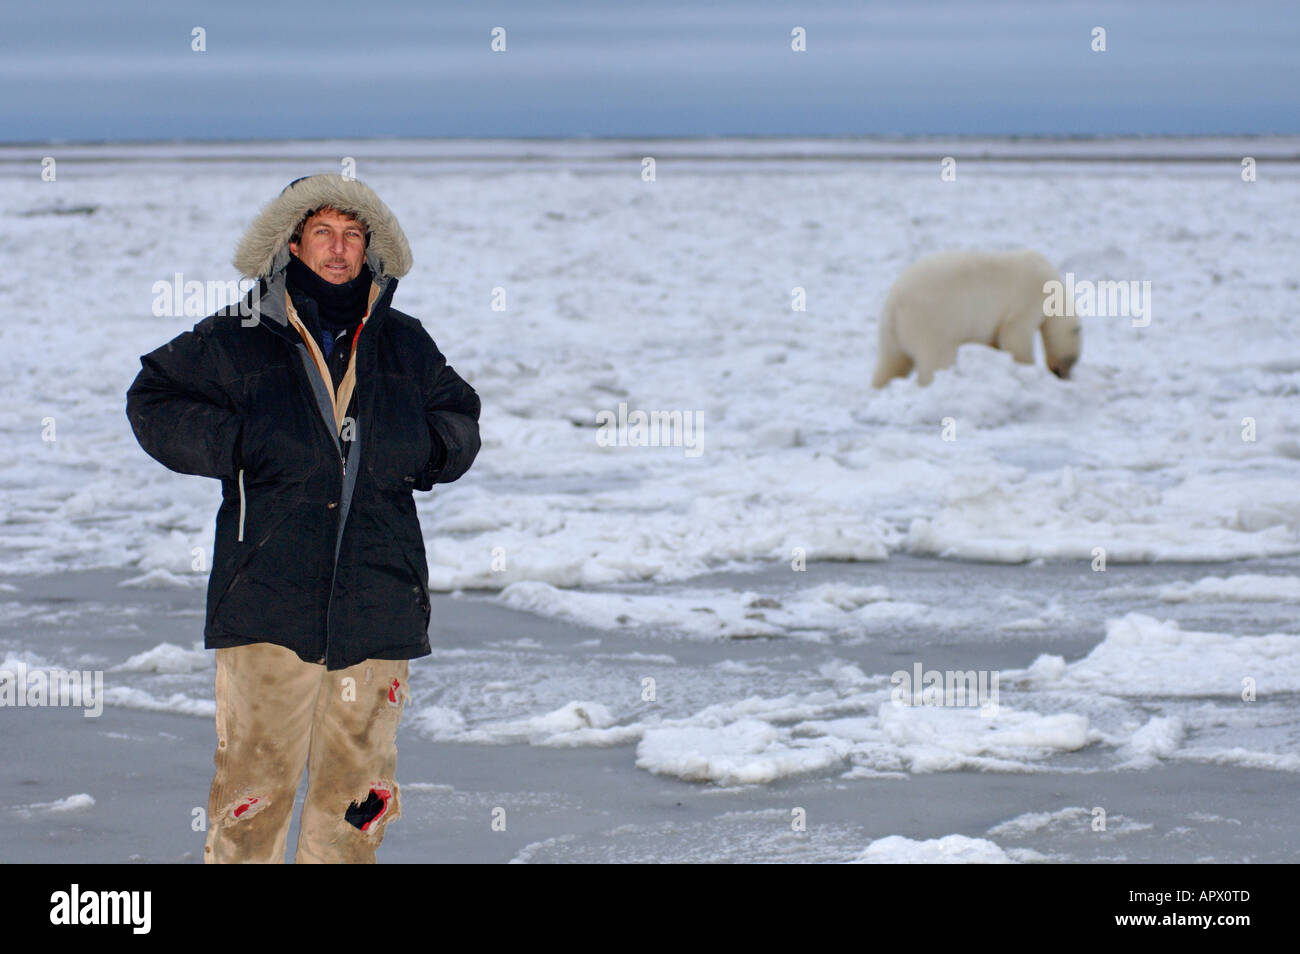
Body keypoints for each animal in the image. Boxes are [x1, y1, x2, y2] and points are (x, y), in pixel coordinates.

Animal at [871, 249, 1081, 388]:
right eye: (1072, 360)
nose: (1062, 376)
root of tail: (895, 306)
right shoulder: (1028, 300)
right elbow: (1015, 335)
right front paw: (1027, 367)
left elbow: (994, 340)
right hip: (931, 322)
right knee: (935, 359)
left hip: (891, 332)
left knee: (892, 362)